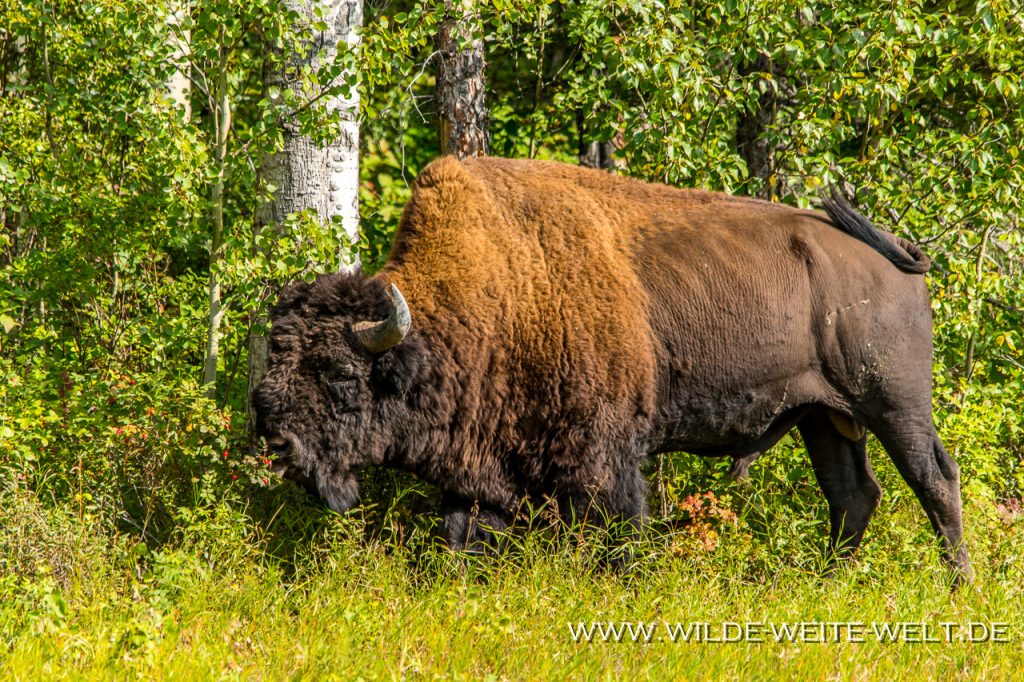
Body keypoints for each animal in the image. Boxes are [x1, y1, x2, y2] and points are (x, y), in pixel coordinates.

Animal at [253, 156, 970, 583]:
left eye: (340, 375)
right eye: (278, 354)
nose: (273, 434)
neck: (496, 291)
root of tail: (892, 252)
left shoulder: (606, 458)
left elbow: (618, 535)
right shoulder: (478, 469)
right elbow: (465, 538)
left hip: (892, 403)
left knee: (935, 481)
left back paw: (957, 587)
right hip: (822, 417)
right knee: (853, 496)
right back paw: (826, 581)